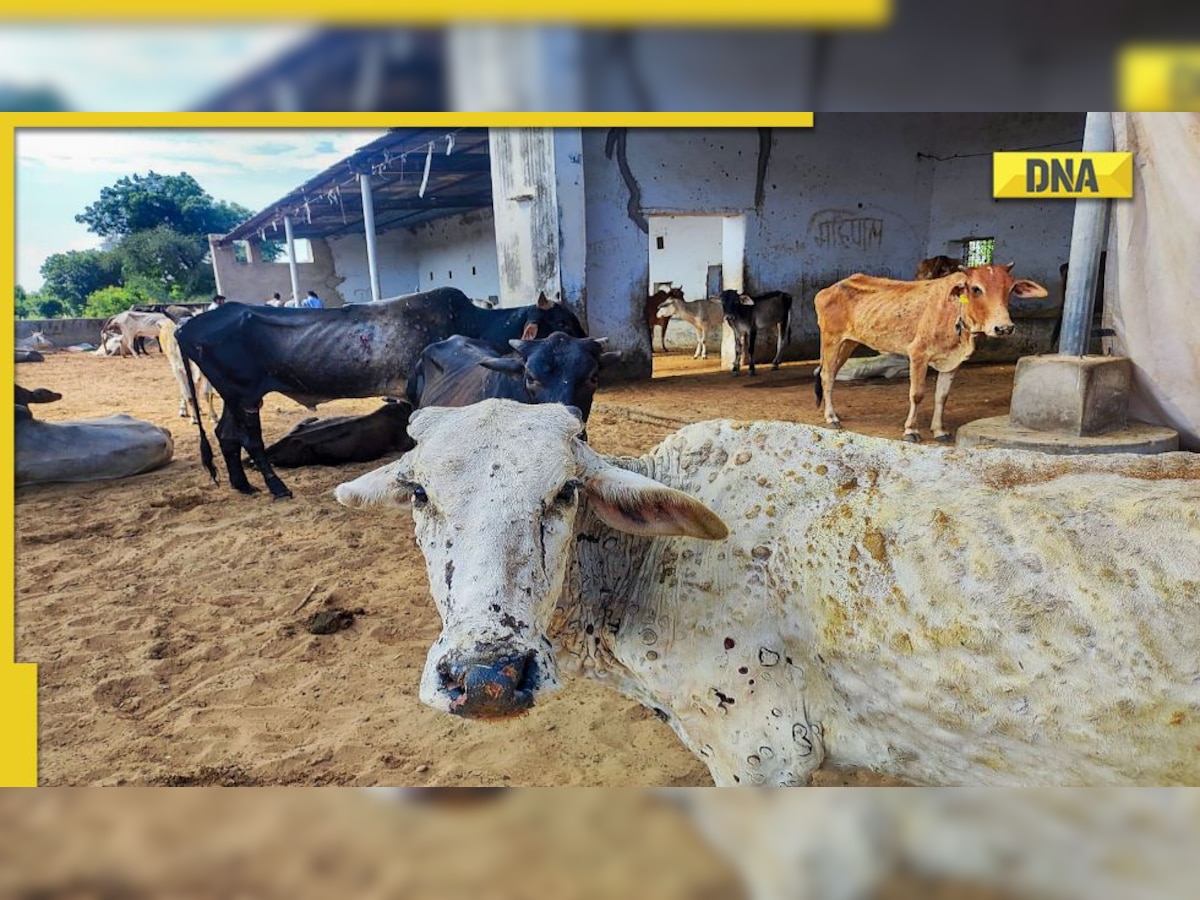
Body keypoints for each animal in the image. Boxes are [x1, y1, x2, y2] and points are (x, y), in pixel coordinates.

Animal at [814, 264, 1047, 442]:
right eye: (976, 289)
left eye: (1010, 289)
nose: (1004, 328)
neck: (955, 313)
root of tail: (827, 290)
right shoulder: (918, 354)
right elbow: (917, 394)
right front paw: (911, 430)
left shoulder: (953, 362)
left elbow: (941, 396)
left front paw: (940, 431)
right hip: (831, 339)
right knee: (827, 376)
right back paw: (832, 417)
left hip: (848, 343)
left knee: (829, 373)